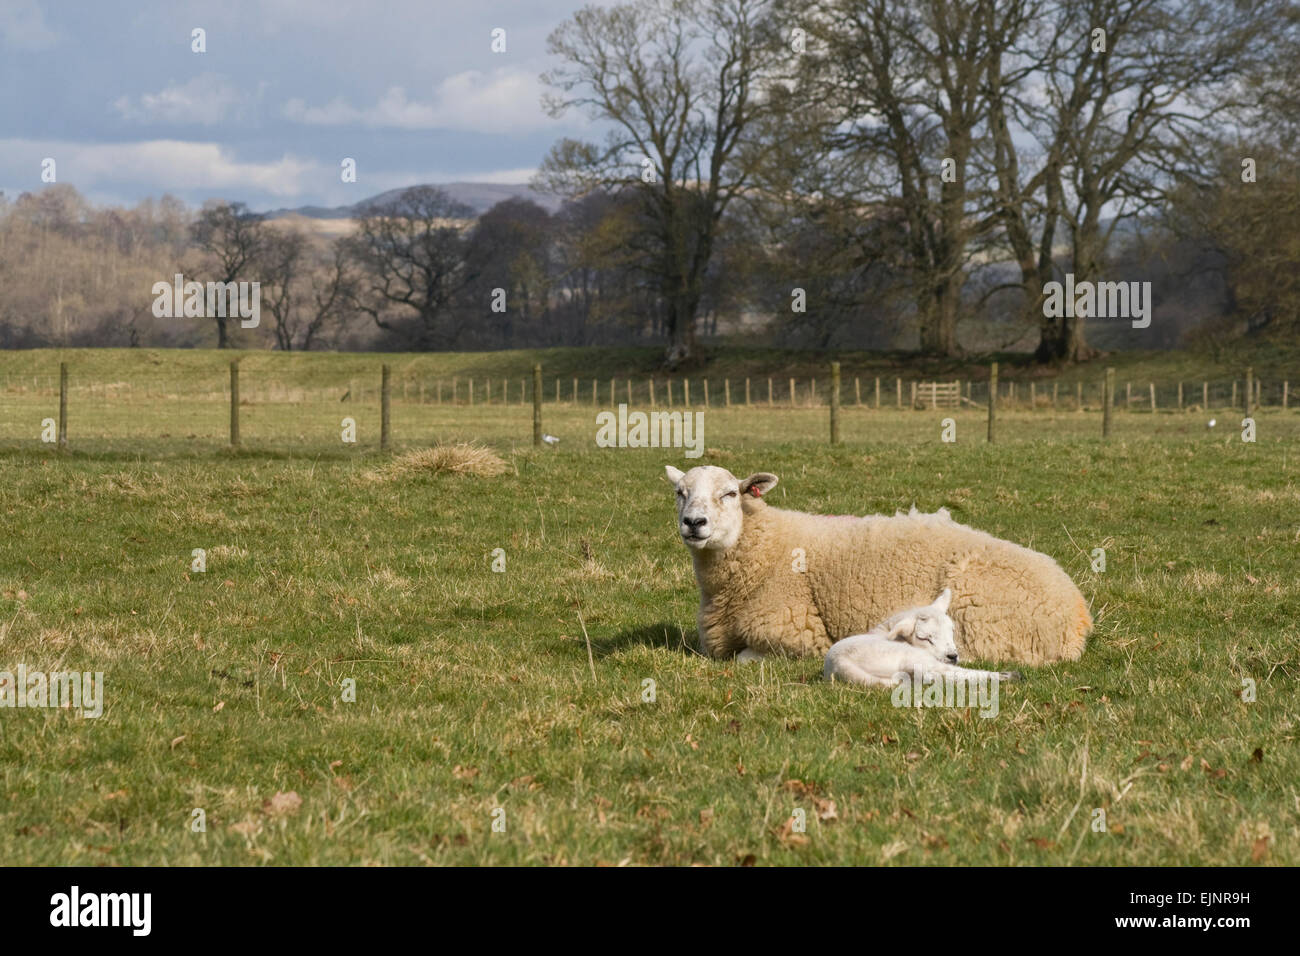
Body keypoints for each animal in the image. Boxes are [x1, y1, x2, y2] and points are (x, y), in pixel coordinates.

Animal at [664, 464, 1092, 665]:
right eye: (680, 493)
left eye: (730, 494)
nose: (694, 523)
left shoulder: (799, 636)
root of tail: (1078, 617)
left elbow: (742, 658)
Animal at [822, 589, 1021, 687]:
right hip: (911, 658)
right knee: (952, 674)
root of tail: (841, 664)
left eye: (952, 630)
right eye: (925, 638)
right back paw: (1008, 676)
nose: (953, 656)